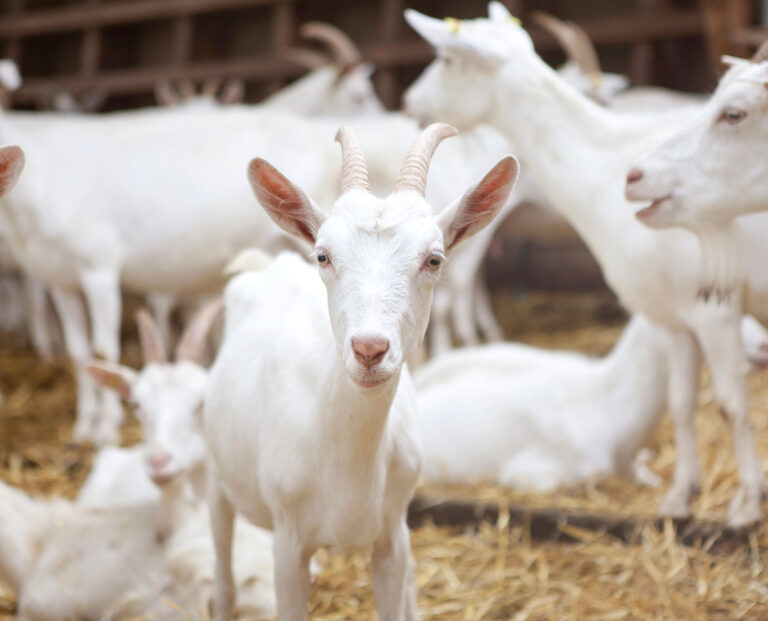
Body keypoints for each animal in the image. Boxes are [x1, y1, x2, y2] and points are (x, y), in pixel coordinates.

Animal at [204, 124, 518, 620]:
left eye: (434, 259)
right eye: (323, 256)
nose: (370, 349)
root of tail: (268, 266)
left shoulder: (392, 537)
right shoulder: (288, 545)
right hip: (218, 478)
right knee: (222, 574)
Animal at [403, 3, 768, 527]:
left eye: (448, 58)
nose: (409, 102)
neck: (601, 164)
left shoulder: (713, 307)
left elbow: (732, 405)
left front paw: (746, 506)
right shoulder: (672, 314)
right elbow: (681, 406)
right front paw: (679, 500)